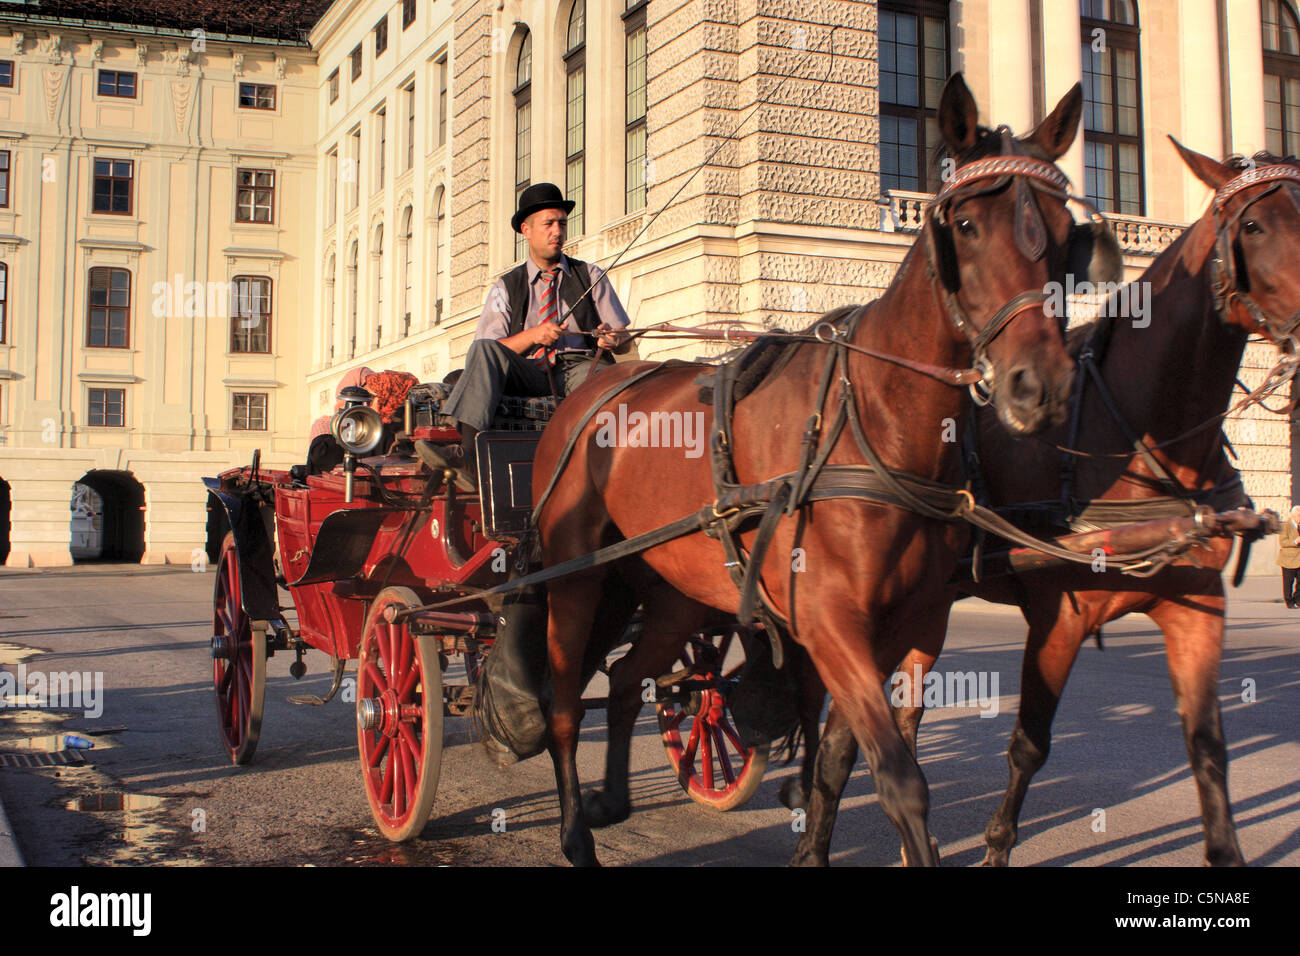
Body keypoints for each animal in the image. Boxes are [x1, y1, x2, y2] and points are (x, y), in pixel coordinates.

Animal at [530, 73, 1098, 866]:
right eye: (965, 226)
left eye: (1064, 232)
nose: (1039, 386)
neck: (878, 424)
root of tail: (591, 385)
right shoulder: (831, 624)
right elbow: (899, 781)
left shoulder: (918, 626)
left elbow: (839, 757)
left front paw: (812, 838)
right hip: (574, 575)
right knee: (560, 703)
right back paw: (575, 832)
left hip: (676, 590)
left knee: (623, 681)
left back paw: (611, 797)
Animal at [787, 144, 1300, 867]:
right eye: (1253, 227)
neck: (1141, 437)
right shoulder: (1060, 619)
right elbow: (1030, 747)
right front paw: (997, 846)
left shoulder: (1196, 609)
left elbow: (1208, 751)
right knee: (847, 731)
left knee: (877, 725)